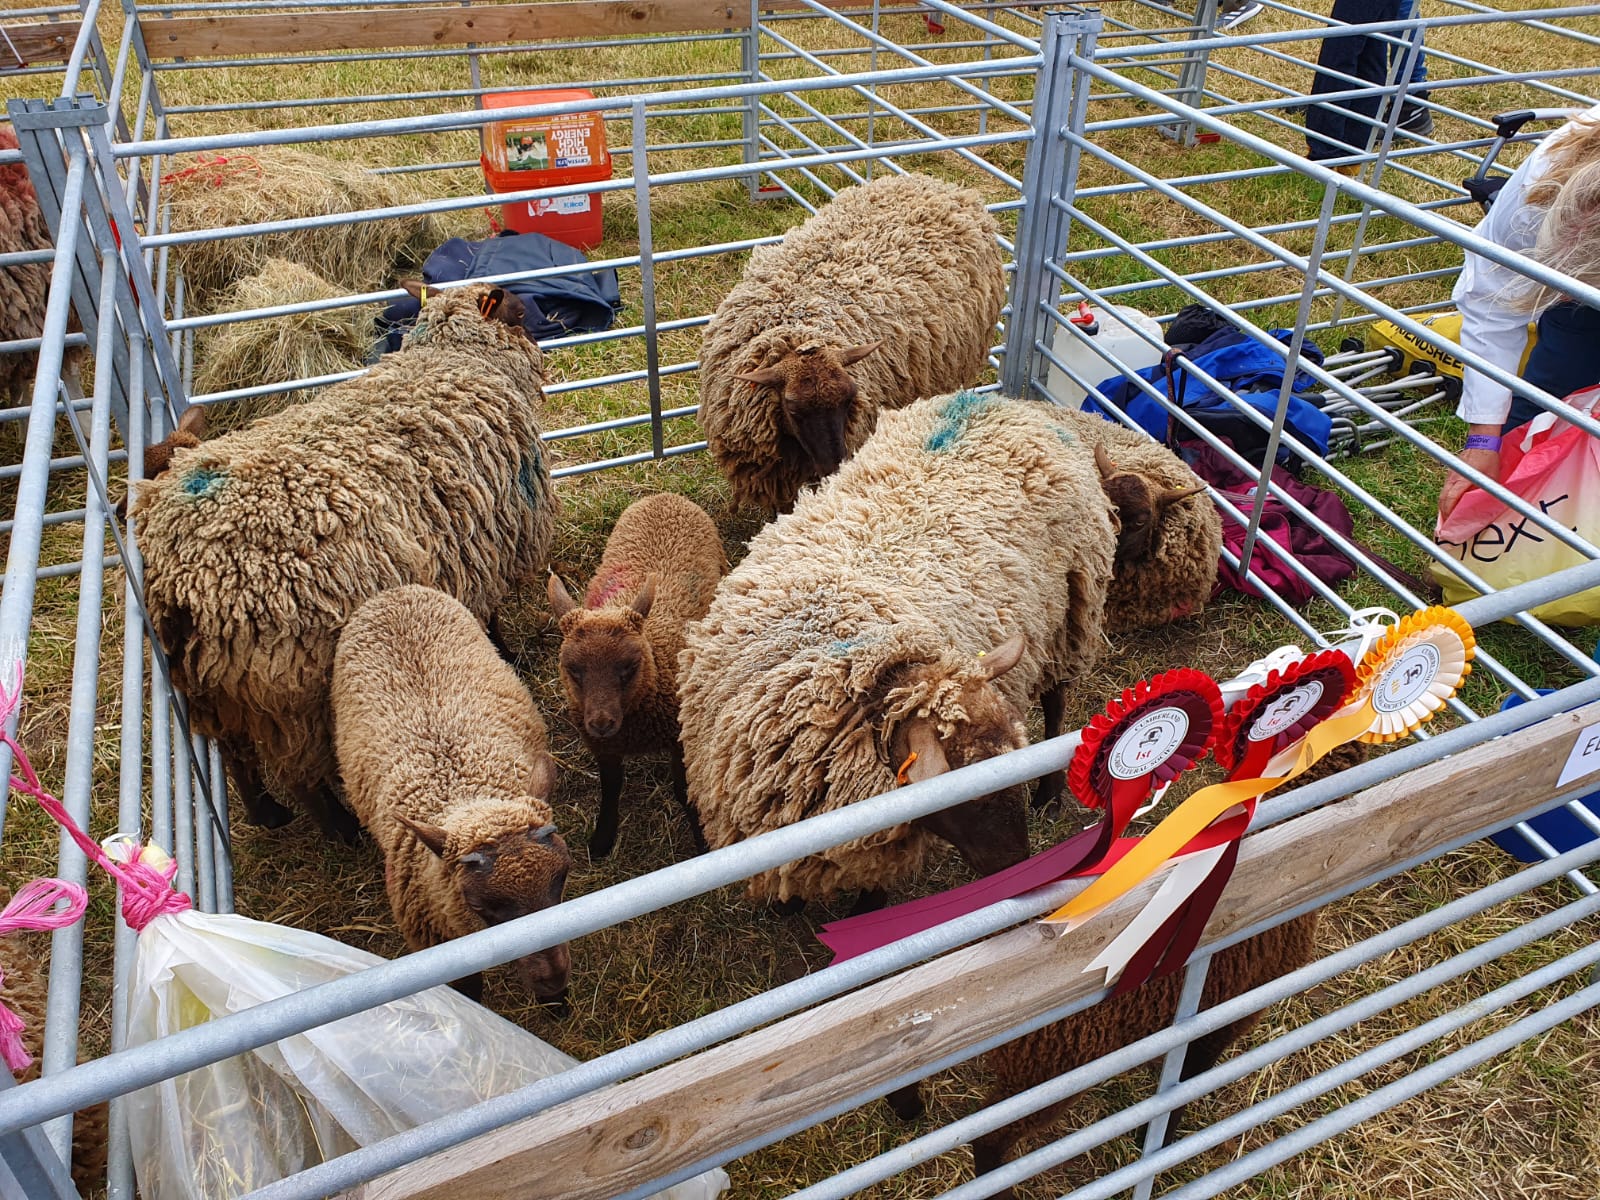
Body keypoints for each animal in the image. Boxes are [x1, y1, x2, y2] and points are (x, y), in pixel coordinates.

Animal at [130, 282, 555, 840]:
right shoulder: (481, 546)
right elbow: (489, 617)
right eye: (519, 311)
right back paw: (339, 828)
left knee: (235, 751)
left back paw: (267, 815)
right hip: (289, 689)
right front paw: (508, 655)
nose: (549, 324)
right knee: (297, 770)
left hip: (217, 685)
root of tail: (177, 582)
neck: (454, 359)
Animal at [546, 492, 727, 860]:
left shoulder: (678, 733)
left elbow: (682, 789)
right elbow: (611, 785)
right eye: (573, 669)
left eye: (630, 665)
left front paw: (701, 840)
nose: (601, 722)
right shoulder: (604, 746)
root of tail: (664, 495)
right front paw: (601, 840)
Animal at [678, 391, 1120, 910]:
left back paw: (1050, 795)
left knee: (1056, 699)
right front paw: (789, 908)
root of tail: (1007, 403)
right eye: (965, 799)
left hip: (1071, 612)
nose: (1021, 874)